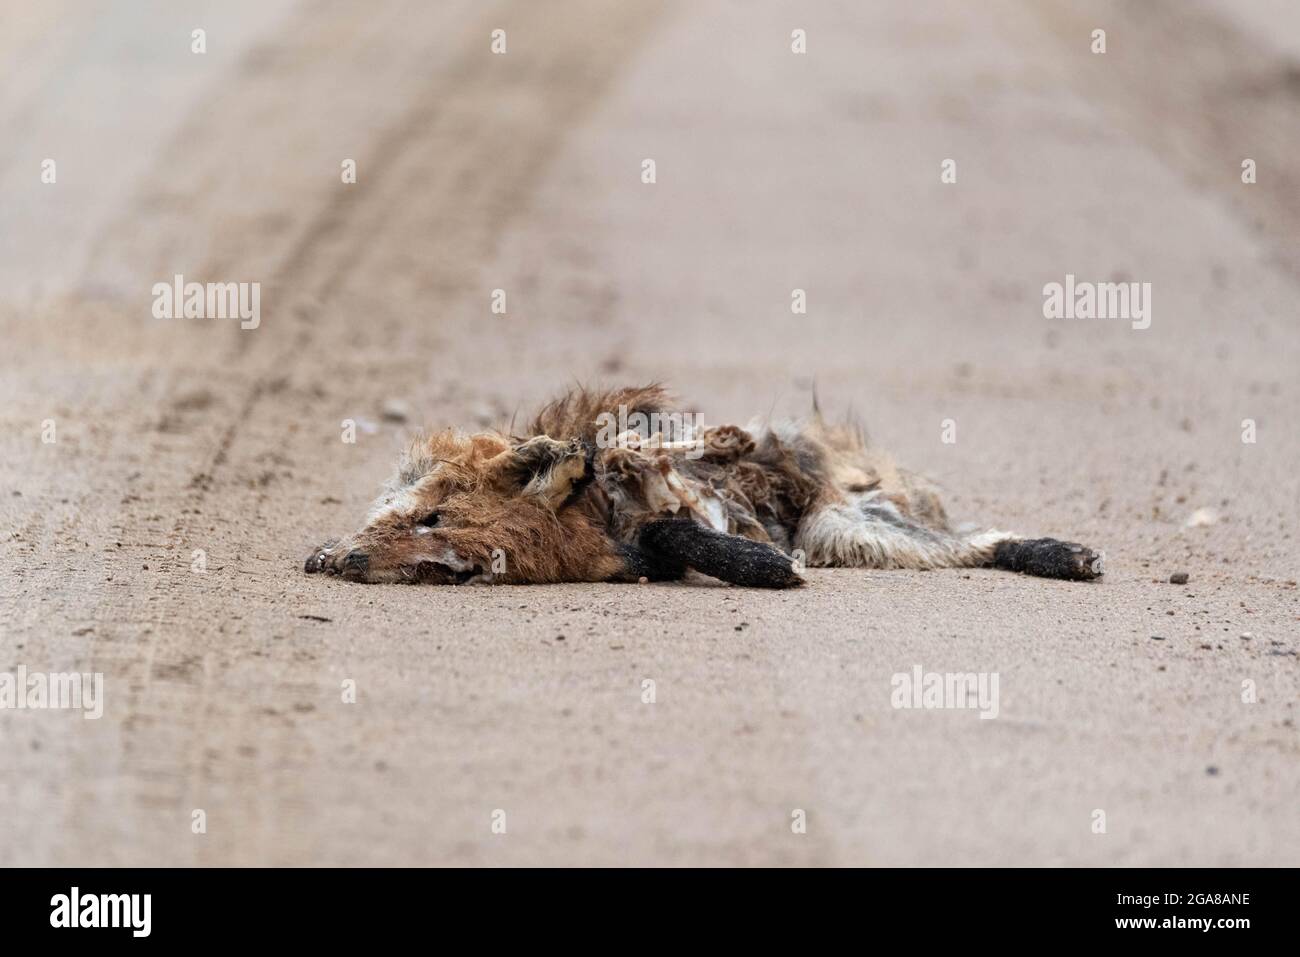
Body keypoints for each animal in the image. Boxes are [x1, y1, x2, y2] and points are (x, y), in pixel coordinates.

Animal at [304, 385, 1103, 588]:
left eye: (435, 519)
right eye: (450, 572)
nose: (352, 565)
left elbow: (648, 457)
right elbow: (673, 531)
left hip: (845, 523)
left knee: (975, 539)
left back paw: (1065, 553)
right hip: (845, 533)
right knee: (969, 543)